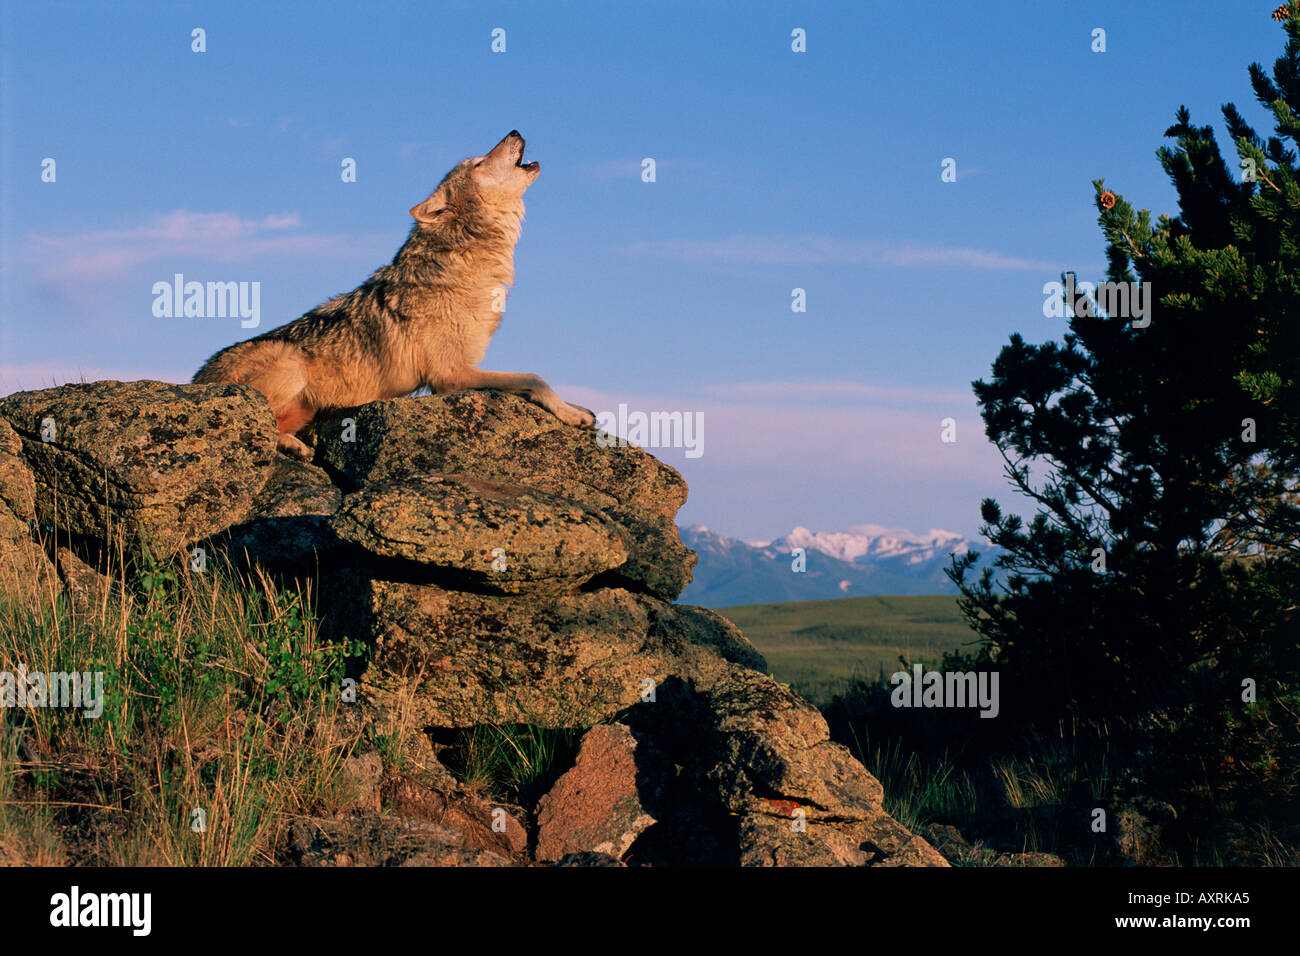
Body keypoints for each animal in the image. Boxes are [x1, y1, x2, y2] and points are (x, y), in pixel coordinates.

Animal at [193, 130, 595, 459]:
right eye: (479, 162)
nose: (514, 130)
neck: (467, 258)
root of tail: (196, 381)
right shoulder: (450, 375)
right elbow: (534, 377)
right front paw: (572, 414)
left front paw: (579, 409)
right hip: (290, 364)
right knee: (262, 424)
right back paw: (293, 447)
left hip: (307, 407)